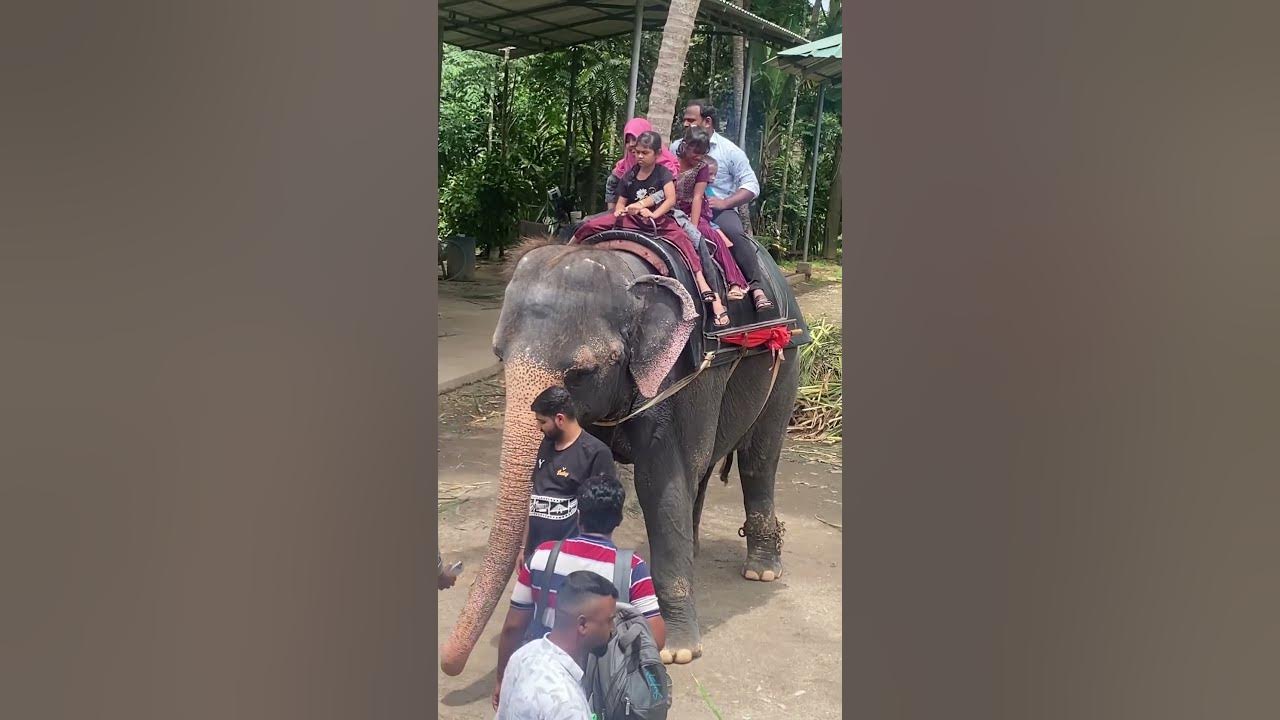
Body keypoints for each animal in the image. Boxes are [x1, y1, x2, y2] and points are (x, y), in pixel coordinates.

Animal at [439, 231, 807, 674]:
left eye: (581, 373)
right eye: (498, 357)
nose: (450, 571)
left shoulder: (680, 378)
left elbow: (658, 485)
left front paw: (678, 652)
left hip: (786, 361)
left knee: (758, 460)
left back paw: (761, 571)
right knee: (701, 469)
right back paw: (696, 551)